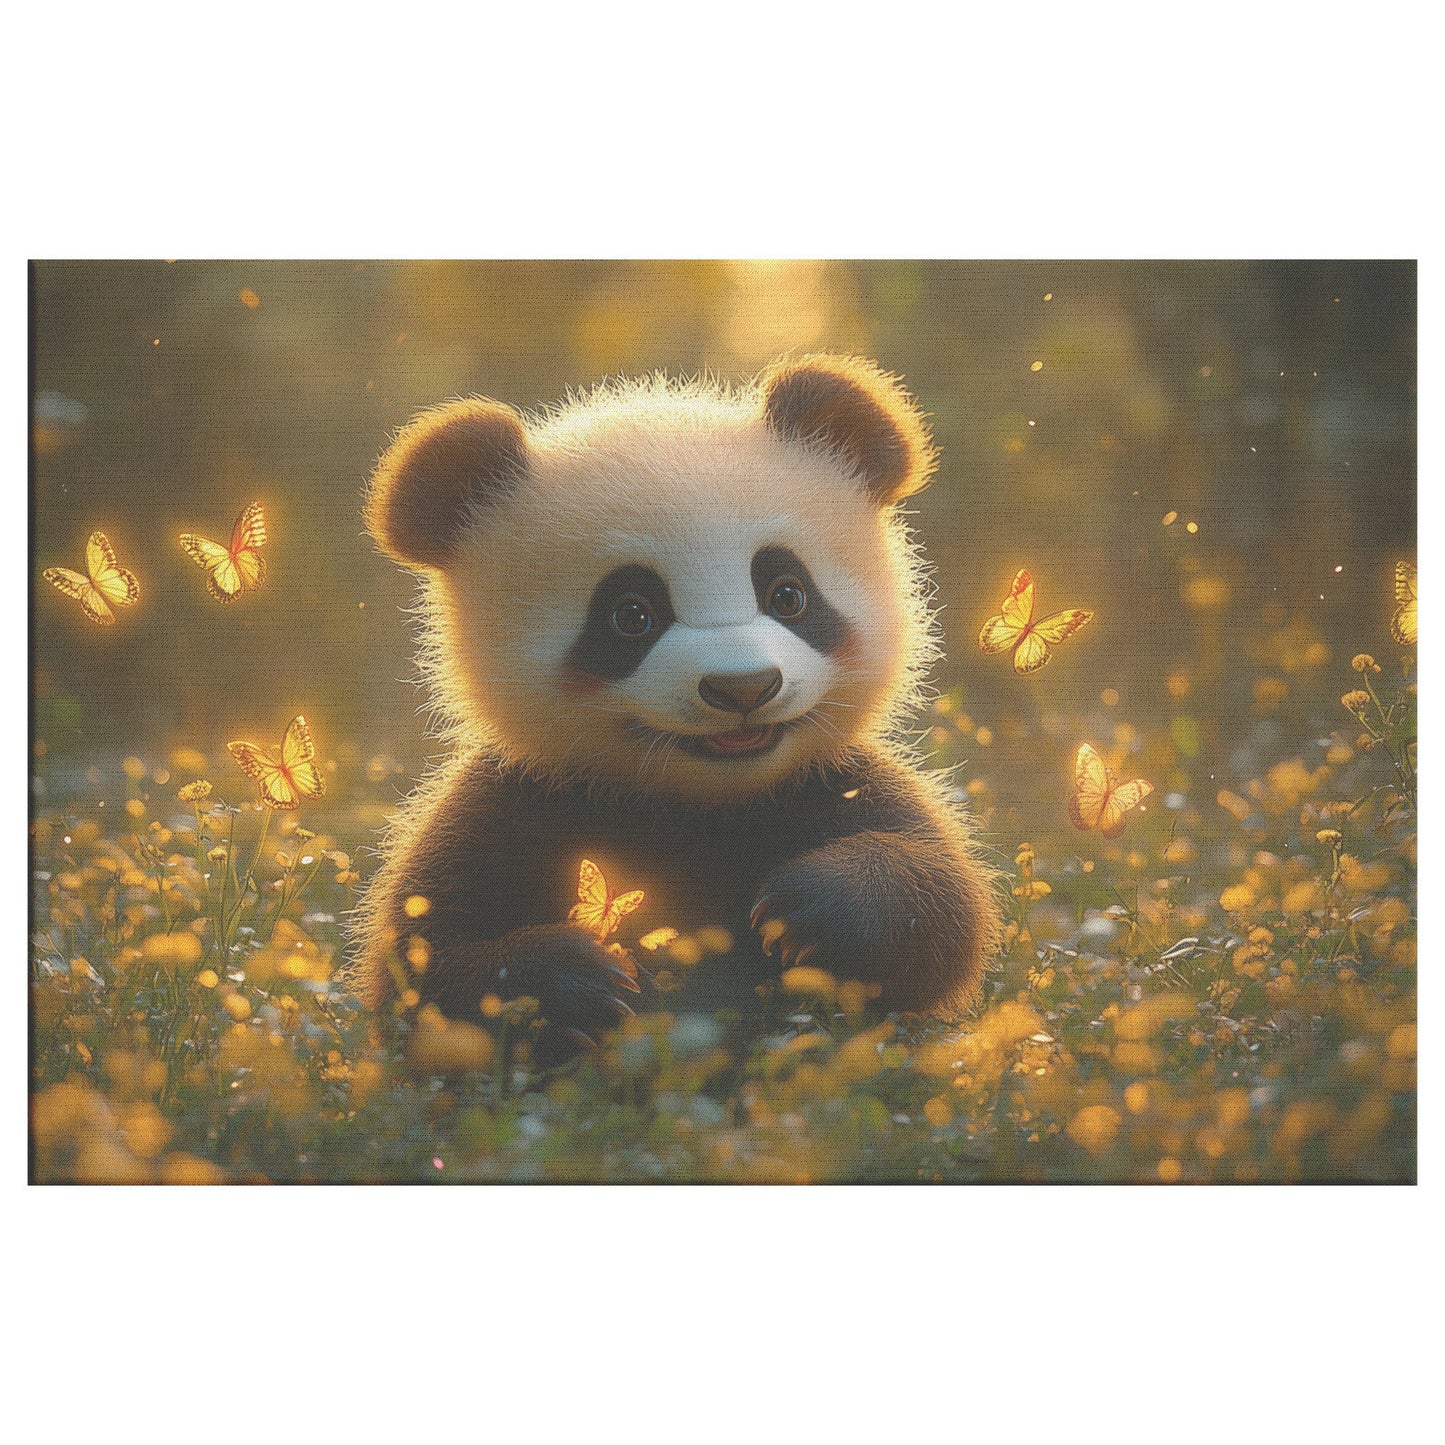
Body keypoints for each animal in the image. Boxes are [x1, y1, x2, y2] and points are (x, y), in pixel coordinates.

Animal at [350, 354, 1002, 1062]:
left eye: (788, 594)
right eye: (631, 614)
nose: (743, 688)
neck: (700, 805)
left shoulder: (826, 782)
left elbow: (950, 909)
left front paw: (813, 911)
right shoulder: (519, 801)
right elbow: (418, 972)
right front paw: (573, 983)